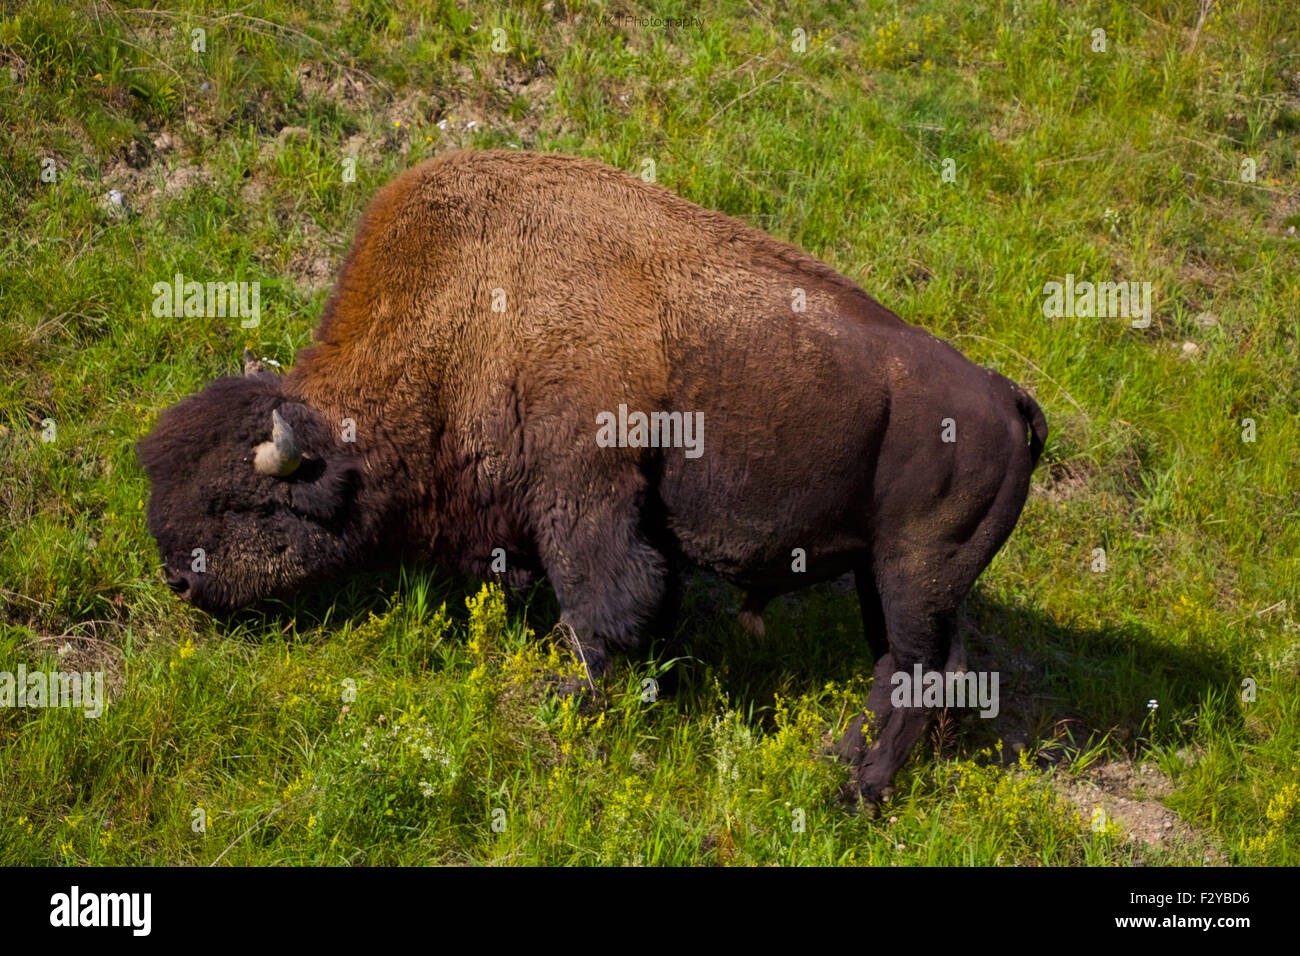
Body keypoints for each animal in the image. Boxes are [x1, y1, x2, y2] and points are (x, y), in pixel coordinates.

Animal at [139, 149, 1046, 804]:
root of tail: (1005, 398)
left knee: (918, 672)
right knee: (908, 665)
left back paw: (853, 789)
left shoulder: (588, 493)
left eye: (244, 505)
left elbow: (607, 599)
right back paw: (843, 763)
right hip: (884, 576)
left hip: (912, 573)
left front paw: (566, 697)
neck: (471, 312)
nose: (177, 582)